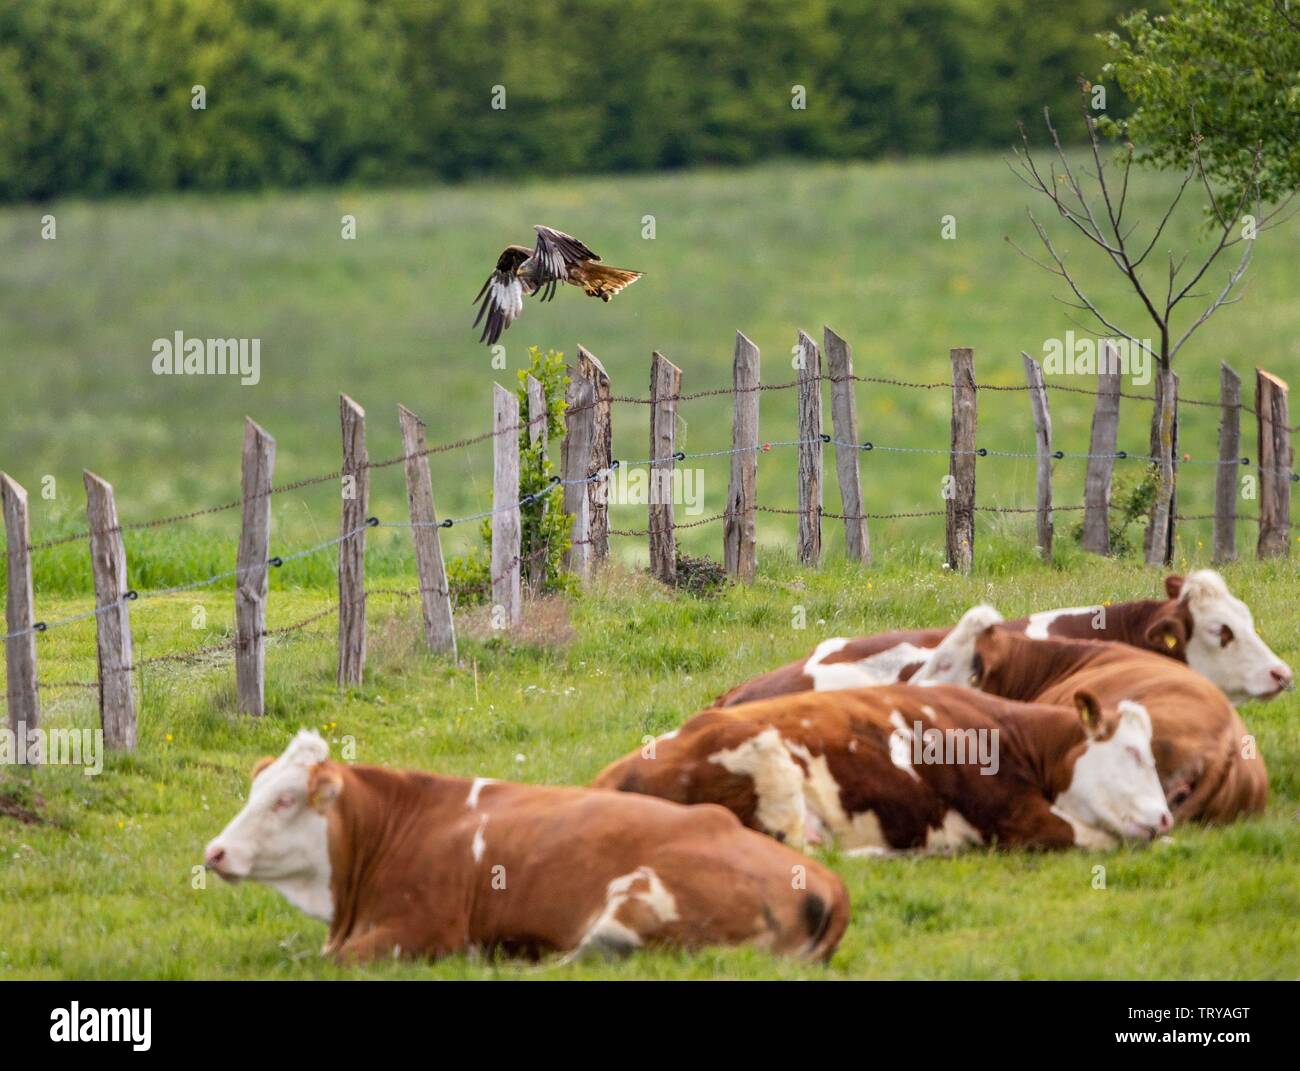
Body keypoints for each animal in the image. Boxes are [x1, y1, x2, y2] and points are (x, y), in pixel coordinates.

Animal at [203, 731, 849, 964]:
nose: (214, 853)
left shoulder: (421, 930)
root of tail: (824, 881)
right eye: (256, 790)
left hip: (637, 900)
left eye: (285, 800)